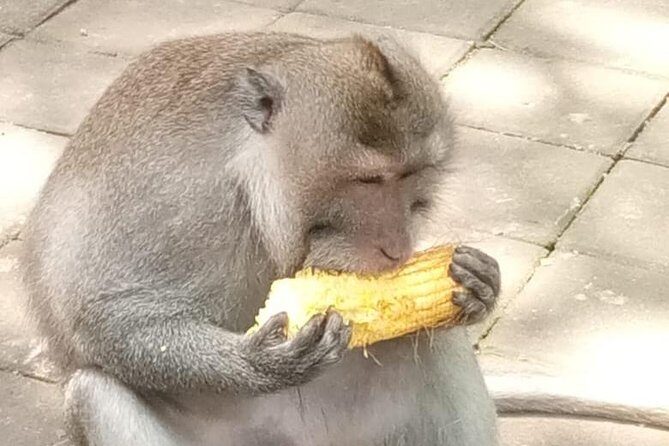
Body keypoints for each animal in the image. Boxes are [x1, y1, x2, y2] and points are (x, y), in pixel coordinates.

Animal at [21, 32, 501, 446]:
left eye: (412, 175)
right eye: (369, 181)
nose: (397, 249)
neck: (250, 182)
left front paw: (480, 284)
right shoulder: (175, 199)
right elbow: (102, 315)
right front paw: (258, 364)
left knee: (435, 337)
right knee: (95, 393)